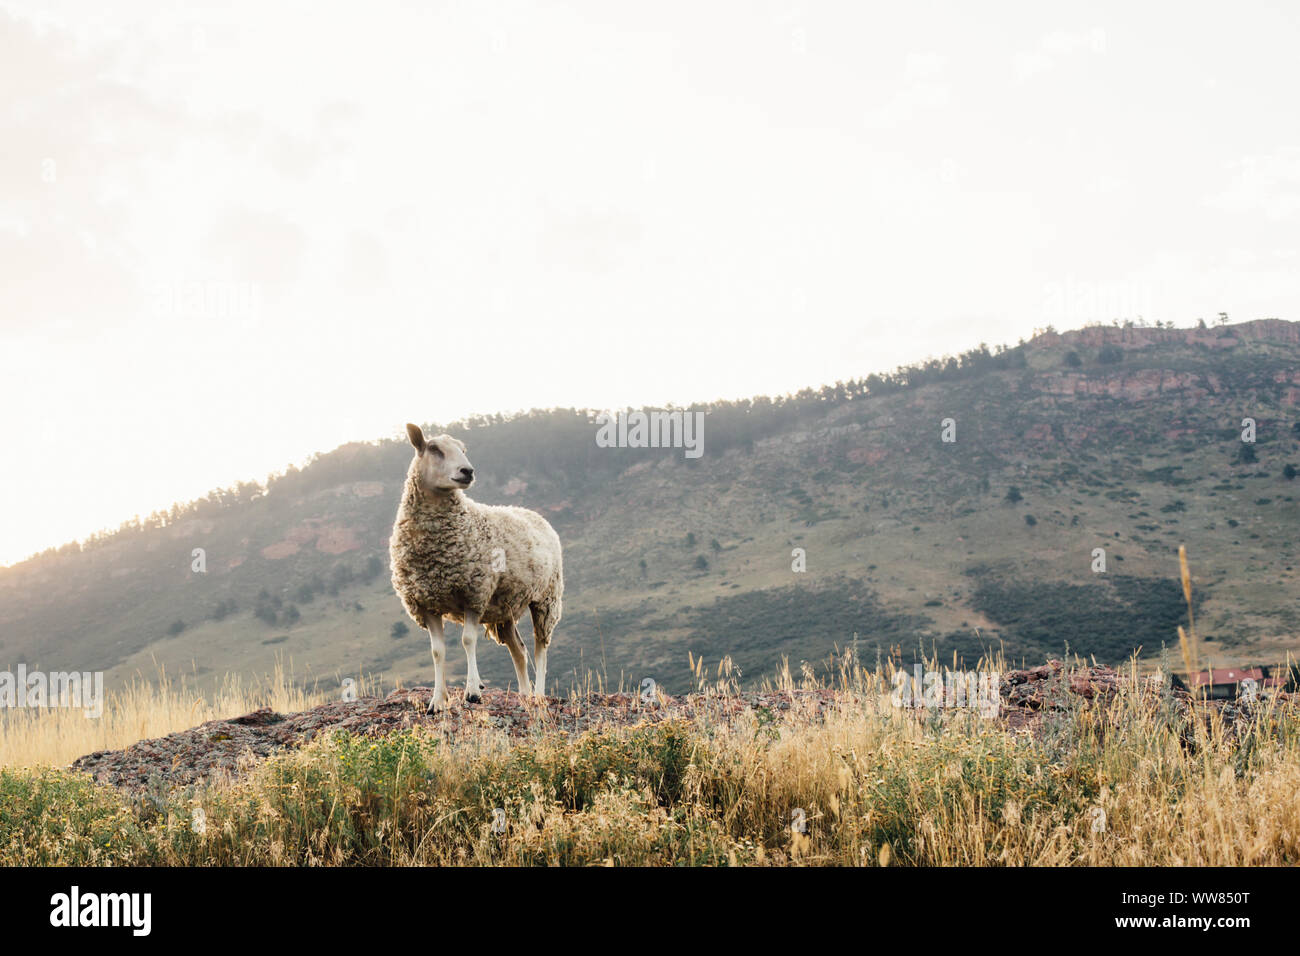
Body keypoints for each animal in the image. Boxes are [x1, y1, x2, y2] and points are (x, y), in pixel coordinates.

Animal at [389, 423, 563, 714]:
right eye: (434, 449)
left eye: (463, 449)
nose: (467, 471)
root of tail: (533, 514)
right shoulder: (426, 603)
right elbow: (437, 651)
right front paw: (437, 701)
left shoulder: (473, 593)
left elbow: (467, 641)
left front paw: (472, 691)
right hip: (505, 608)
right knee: (520, 650)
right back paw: (524, 695)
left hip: (546, 598)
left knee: (541, 647)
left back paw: (538, 695)